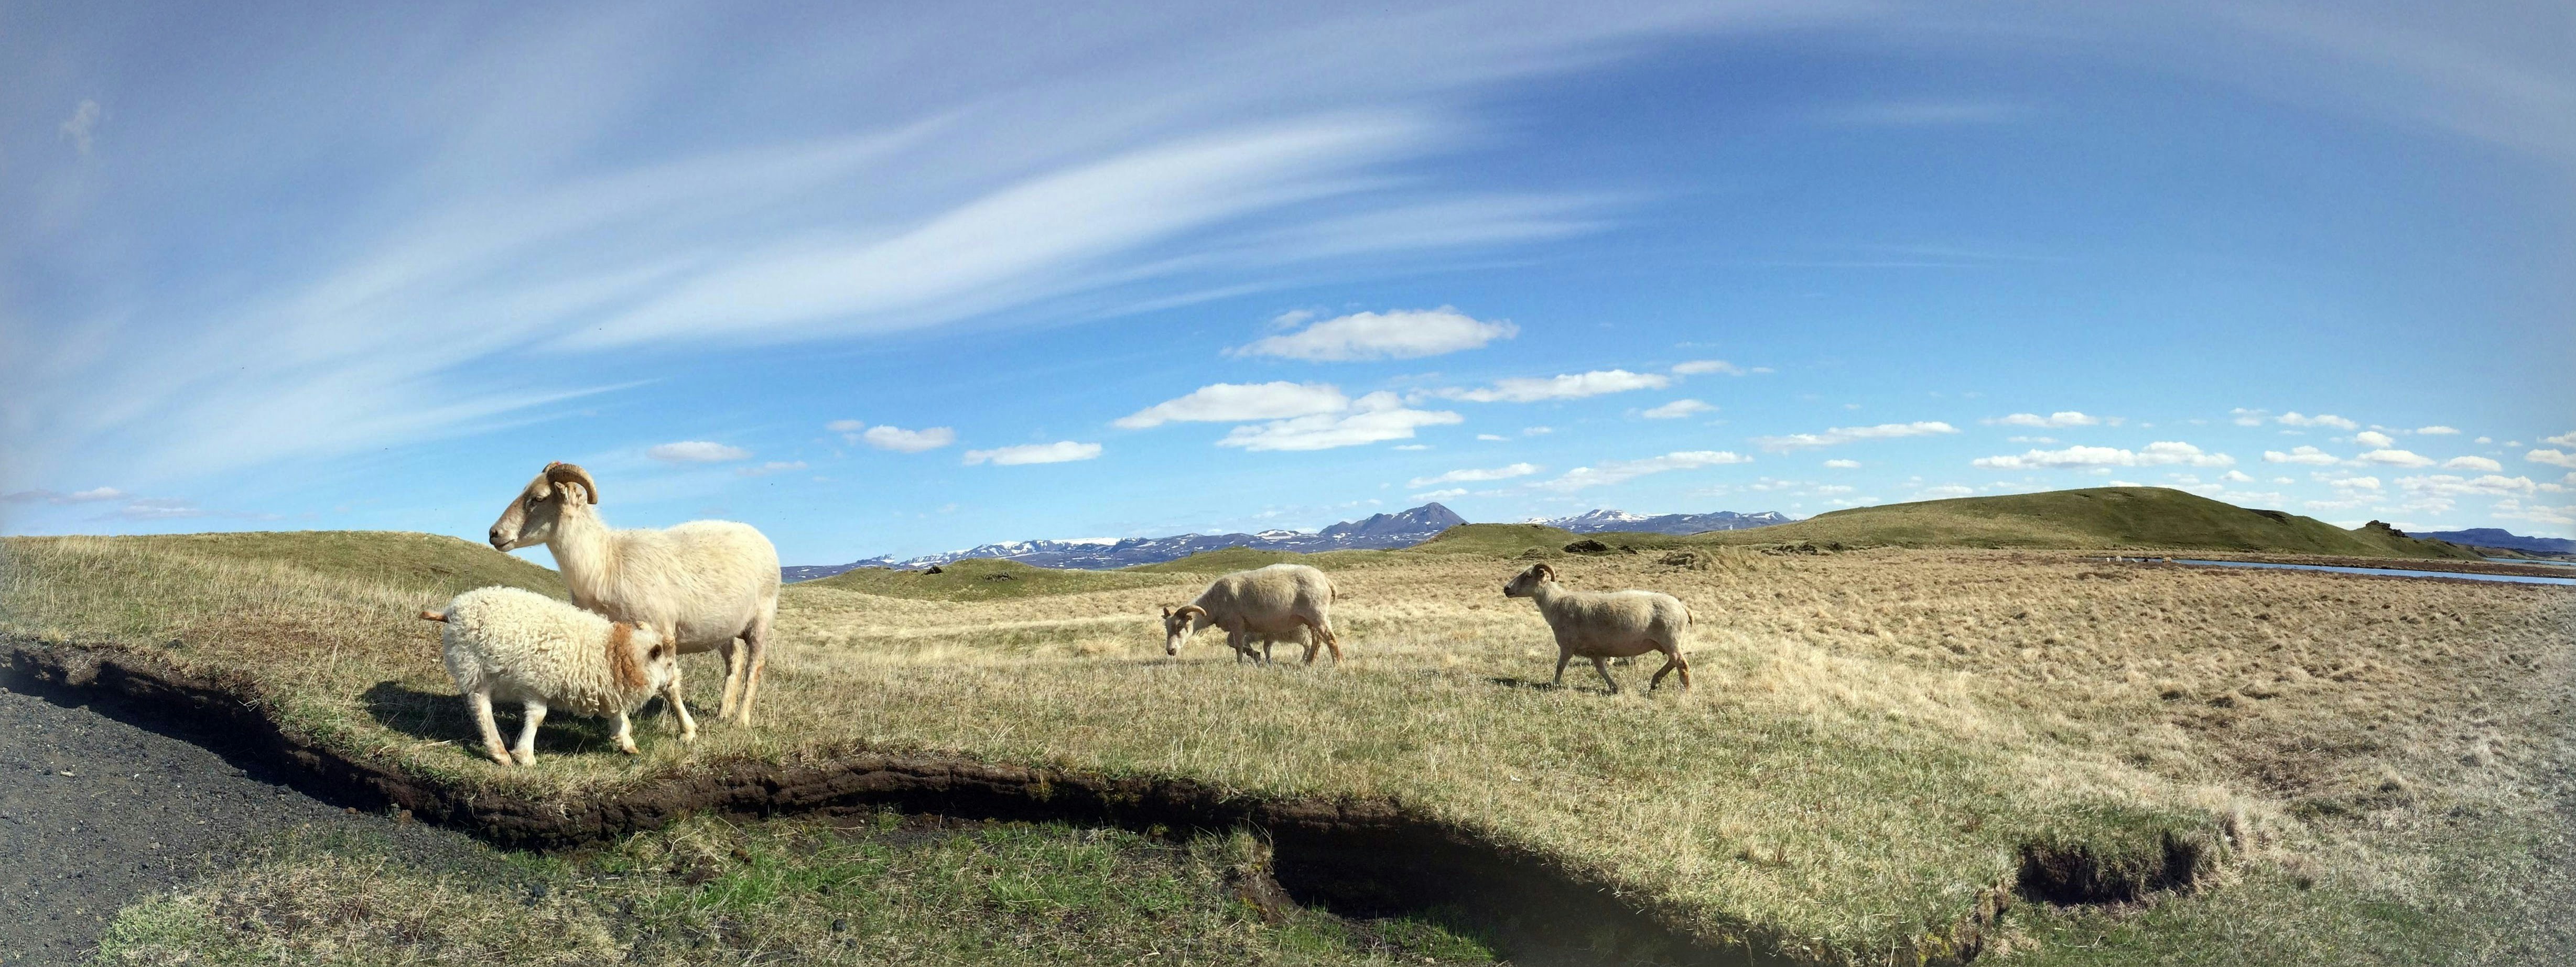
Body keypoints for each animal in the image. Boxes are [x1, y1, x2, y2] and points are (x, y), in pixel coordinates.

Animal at [420, 586, 688, 766]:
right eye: (669, 662)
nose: (674, 682)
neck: (615, 653)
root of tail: (453, 610)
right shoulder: (536, 683)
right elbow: (538, 717)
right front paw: (525, 756)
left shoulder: (608, 687)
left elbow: (618, 715)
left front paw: (626, 743)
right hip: (474, 666)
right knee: (480, 705)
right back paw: (499, 751)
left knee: (473, 703)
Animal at [487, 462, 782, 726]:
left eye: (538, 499)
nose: (494, 533)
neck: (605, 563)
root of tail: (761, 537)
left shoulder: (664, 632)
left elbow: (670, 683)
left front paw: (687, 729)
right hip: (723, 628)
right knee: (735, 662)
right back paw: (724, 713)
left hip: (762, 619)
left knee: (755, 667)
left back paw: (741, 719)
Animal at [1160, 563, 1341, 666]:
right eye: (1167, 628)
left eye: (1180, 626)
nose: (1170, 651)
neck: (1214, 604)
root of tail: (1326, 580)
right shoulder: (1239, 626)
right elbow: (1232, 643)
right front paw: (1256, 656)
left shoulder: (1237, 623)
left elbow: (1238, 645)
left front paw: (1240, 663)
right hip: (1309, 619)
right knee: (1317, 640)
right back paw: (1310, 662)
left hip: (1317, 614)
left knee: (1330, 638)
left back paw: (1338, 663)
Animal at [1501, 563, 1692, 693]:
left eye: (1528, 576)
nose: (1506, 589)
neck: (1556, 603)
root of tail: (1683, 607)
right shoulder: (1593, 650)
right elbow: (1601, 669)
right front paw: (1614, 687)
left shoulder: (1568, 645)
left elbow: (1560, 666)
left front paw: (1554, 685)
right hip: (1667, 642)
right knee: (1673, 662)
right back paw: (1655, 682)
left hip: (1670, 639)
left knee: (1681, 664)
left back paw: (1685, 691)